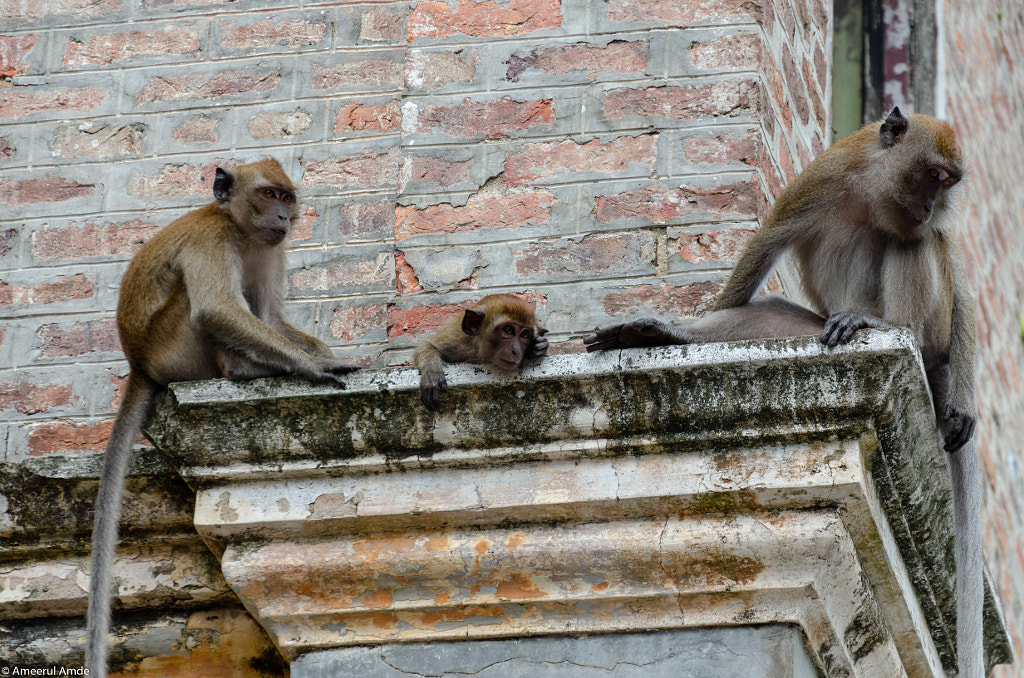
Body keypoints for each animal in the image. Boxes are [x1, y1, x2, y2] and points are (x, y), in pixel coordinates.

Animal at [86, 158, 358, 676]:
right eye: (268, 194)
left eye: (287, 198)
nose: (284, 217)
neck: (239, 230)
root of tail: (138, 363)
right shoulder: (210, 241)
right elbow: (218, 309)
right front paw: (315, 367)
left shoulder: (272, 252)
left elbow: (270, 319)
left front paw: (325, 356)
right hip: (173, 350)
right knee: (203, 307)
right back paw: (242, 369)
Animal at [413, 294, 548, 411]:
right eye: (509, 329)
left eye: (525, 334)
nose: (516, 350)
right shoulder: (456, 341)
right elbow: (428, 344)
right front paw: (432, 371)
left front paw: (539, 347)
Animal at [584, 108, 983, 677]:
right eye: (932, 175)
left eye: (947, 183)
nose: (930, 206)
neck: (873, 189)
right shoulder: (819, 180)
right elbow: (764, 247)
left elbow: (948, 260)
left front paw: (964, 408)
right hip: (817, 326)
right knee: (777, 311)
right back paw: (666, 335)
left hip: (929, 334)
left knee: (918, 249)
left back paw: (887, 327)